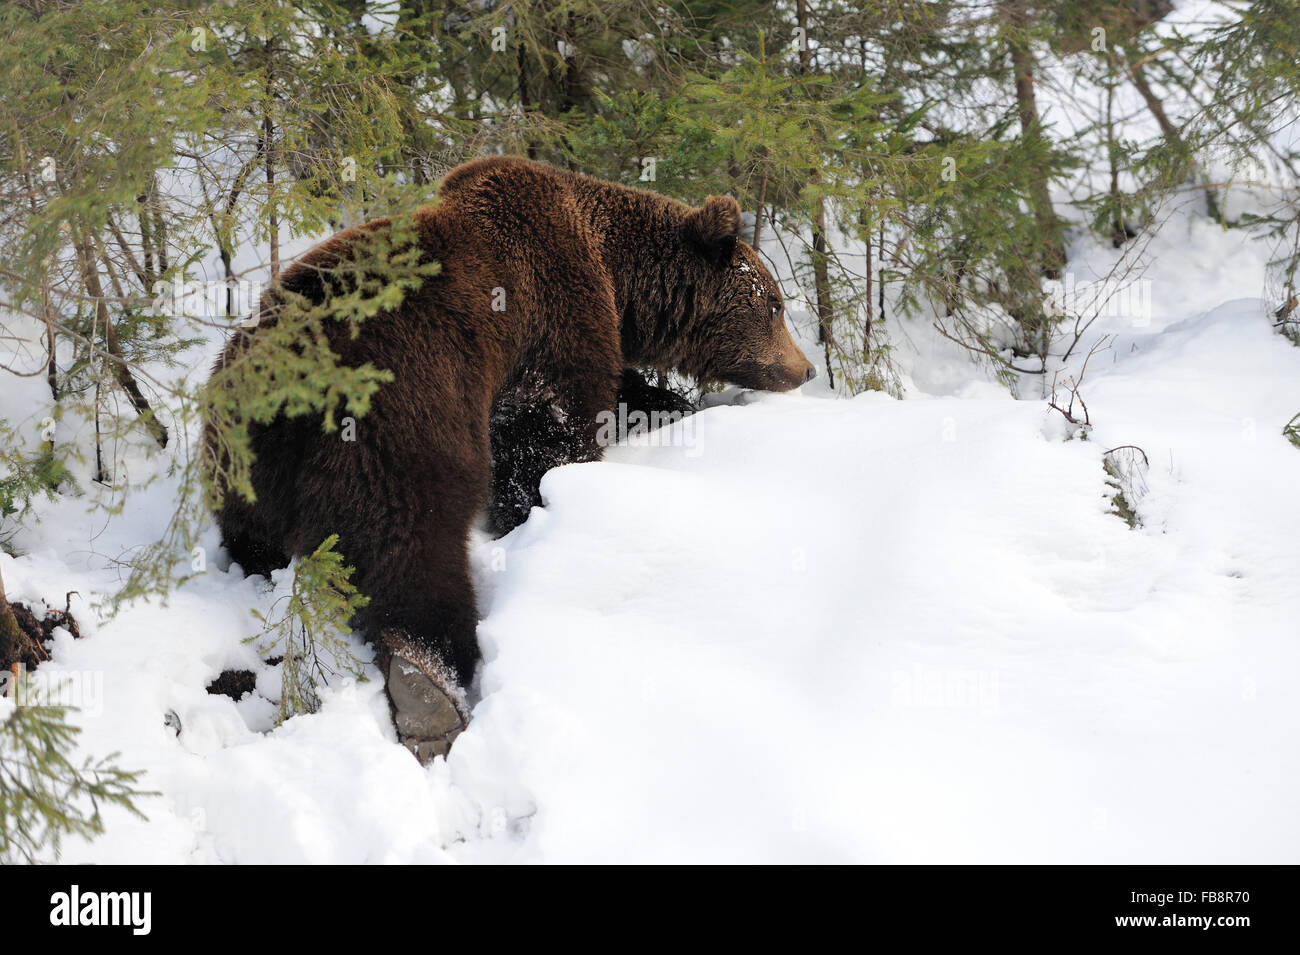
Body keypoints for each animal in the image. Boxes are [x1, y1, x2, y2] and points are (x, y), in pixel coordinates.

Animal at [205, 156, 815, 760]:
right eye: (775, 303)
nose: (806, 368)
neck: (617, 277)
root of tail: (280, 380)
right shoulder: (550, 319)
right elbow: (547, 435)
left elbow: (625, 397)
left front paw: (669, 405)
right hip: (396, 421)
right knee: (408, 542)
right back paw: (428, 689)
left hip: (241, 461)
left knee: (255, 537)